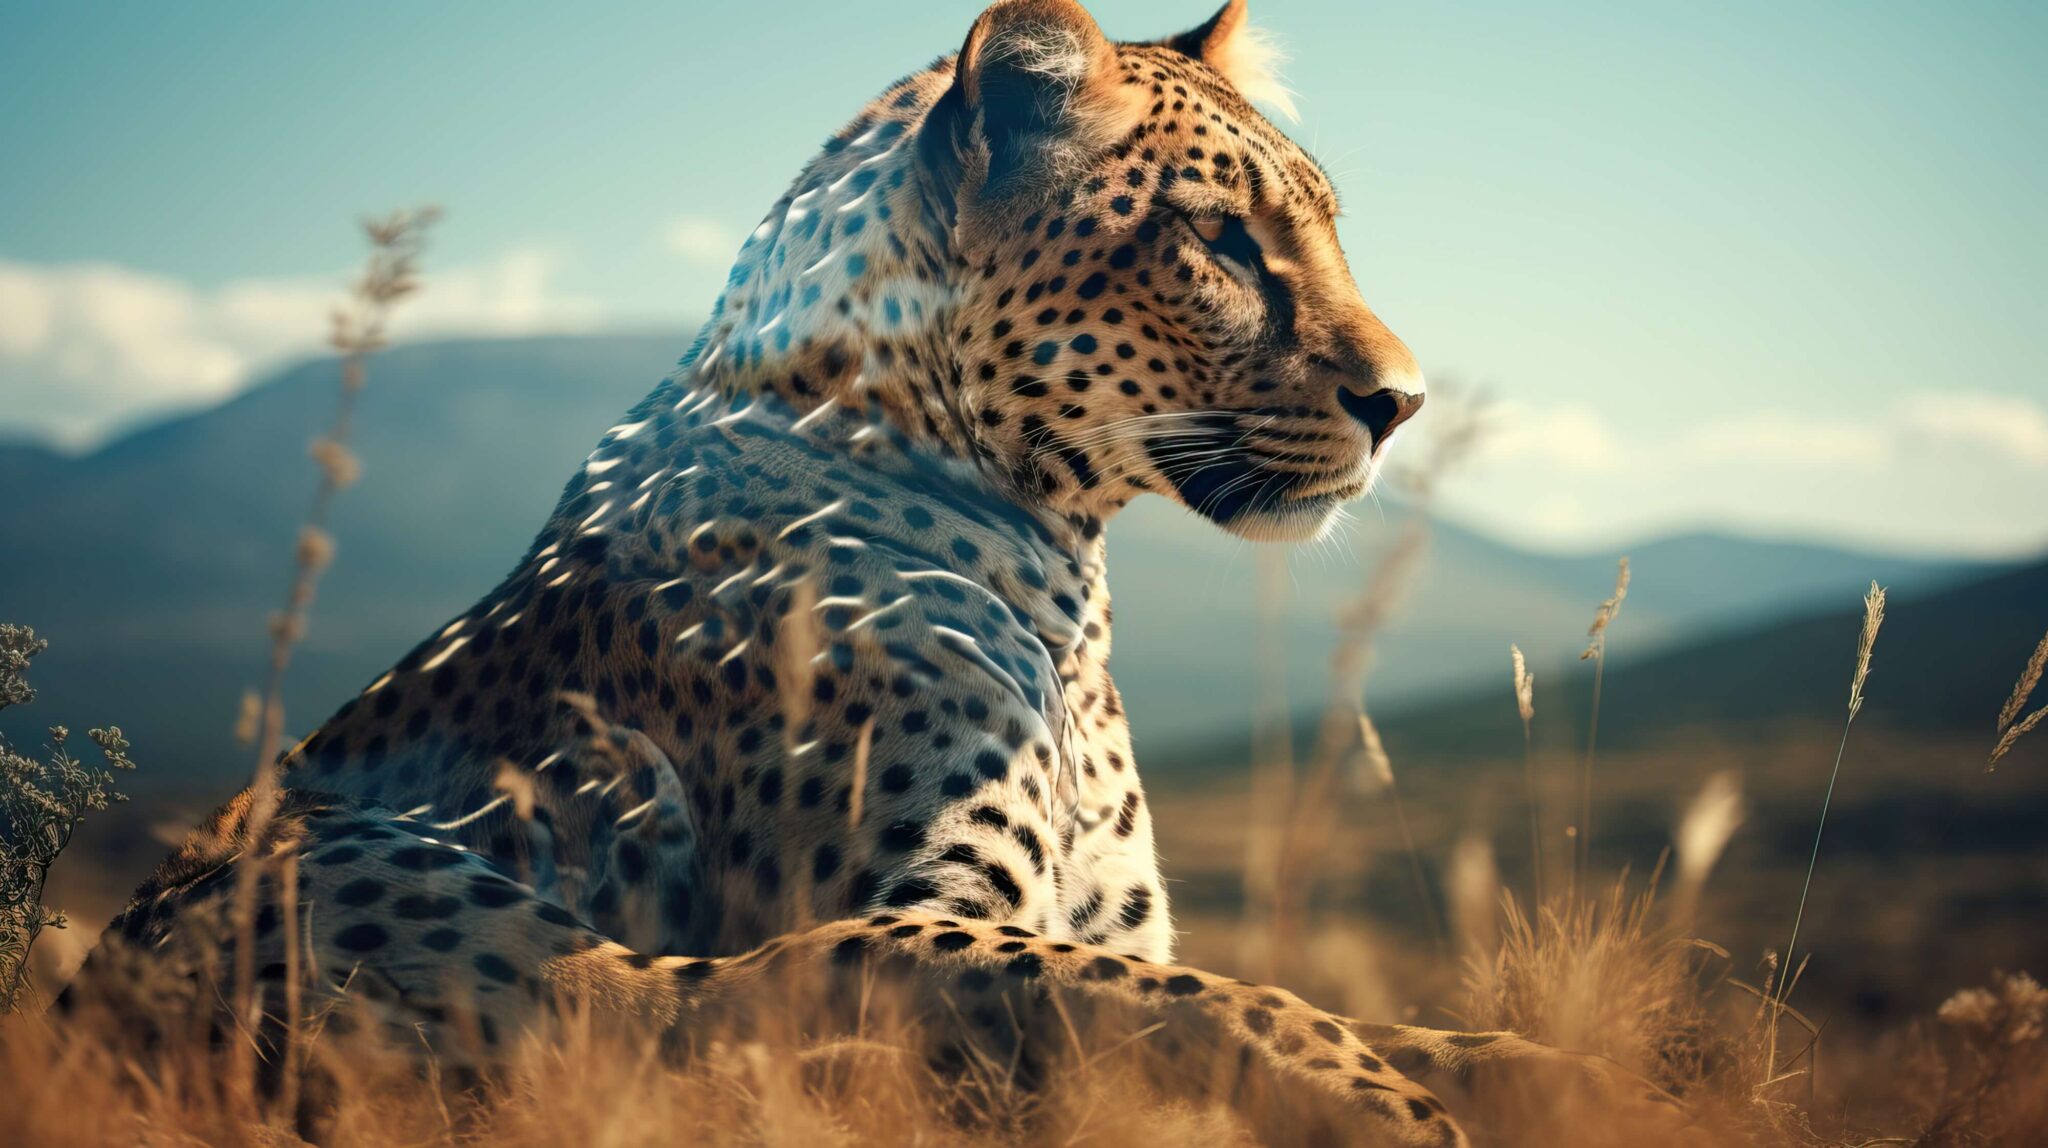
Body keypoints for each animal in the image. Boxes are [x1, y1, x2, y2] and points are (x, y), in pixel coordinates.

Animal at [62, 3, 1702, 1144]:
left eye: (1327, 230)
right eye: (1220, 240)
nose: (1403, 402)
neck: (1065, 582)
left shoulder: (1084, 911)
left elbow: (1284, 991)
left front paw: (1564, 1070)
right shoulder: (931, 904)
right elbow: (1176, 991)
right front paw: (1376, 1098)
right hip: (360, 871)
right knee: (671, 1014)